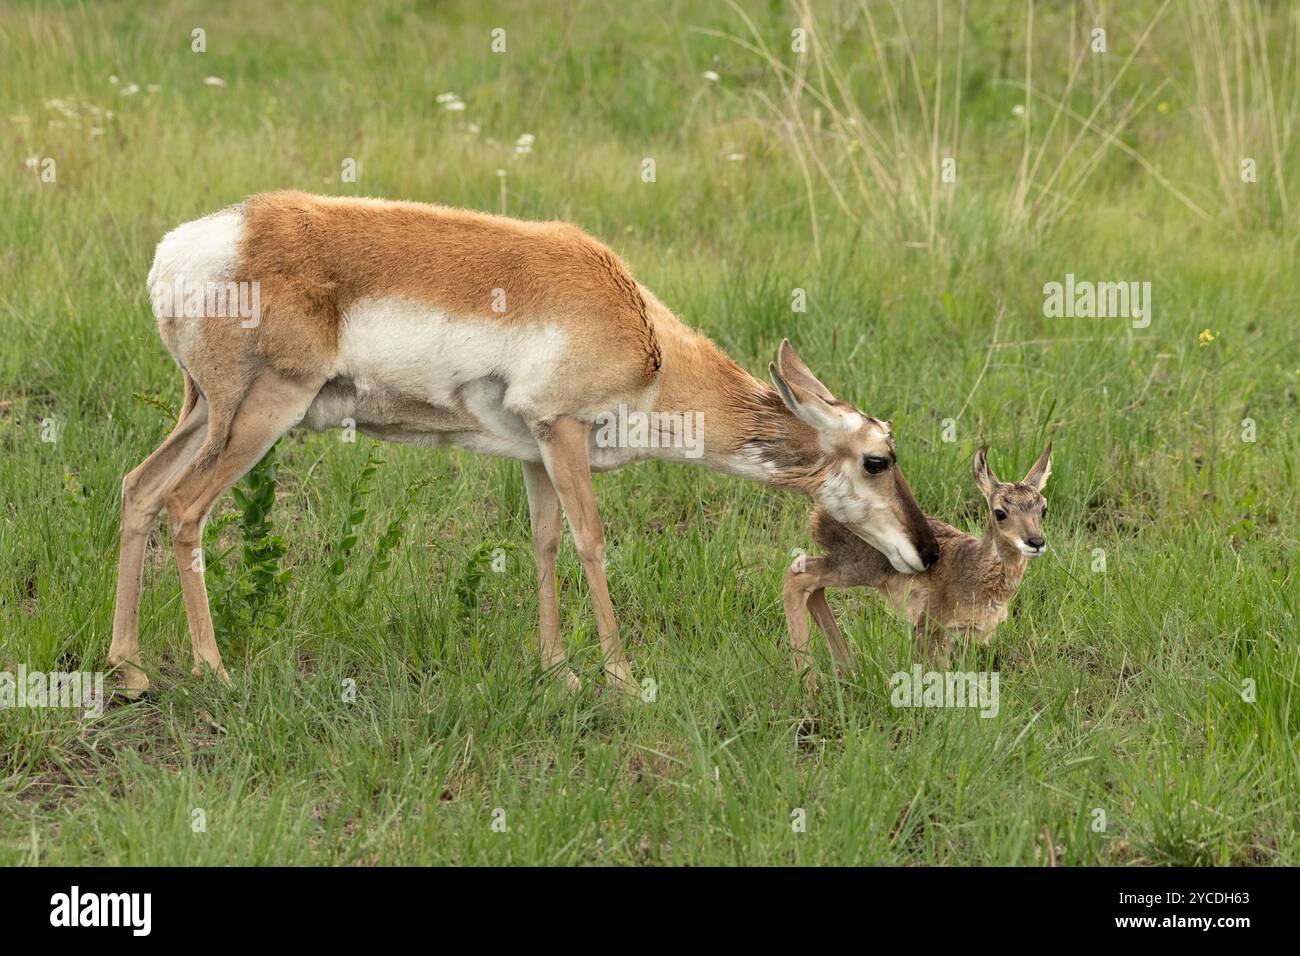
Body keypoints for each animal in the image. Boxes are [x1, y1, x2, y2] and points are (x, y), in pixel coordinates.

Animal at [110, 191, 939, 696]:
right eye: (879, 458)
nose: (928, 552)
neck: (646, 337)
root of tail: (186, 249)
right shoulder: (564, 432)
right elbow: (591, 541)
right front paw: (622, 676)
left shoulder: (536, 452)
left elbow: (543, 543)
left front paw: (560, 669)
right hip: (258, 416)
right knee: (186, 508)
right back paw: (213, 670)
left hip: (203, 413)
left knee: (140, 489)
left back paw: (131, 671)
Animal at [783, 443, 1052, 687]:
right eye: (1000, 512)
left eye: (1043, 509)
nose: (1036, 542)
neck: (975, 566)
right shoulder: (930, 629)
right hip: (856, 568)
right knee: (797, 574)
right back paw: (809, 684)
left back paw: (849, 671)